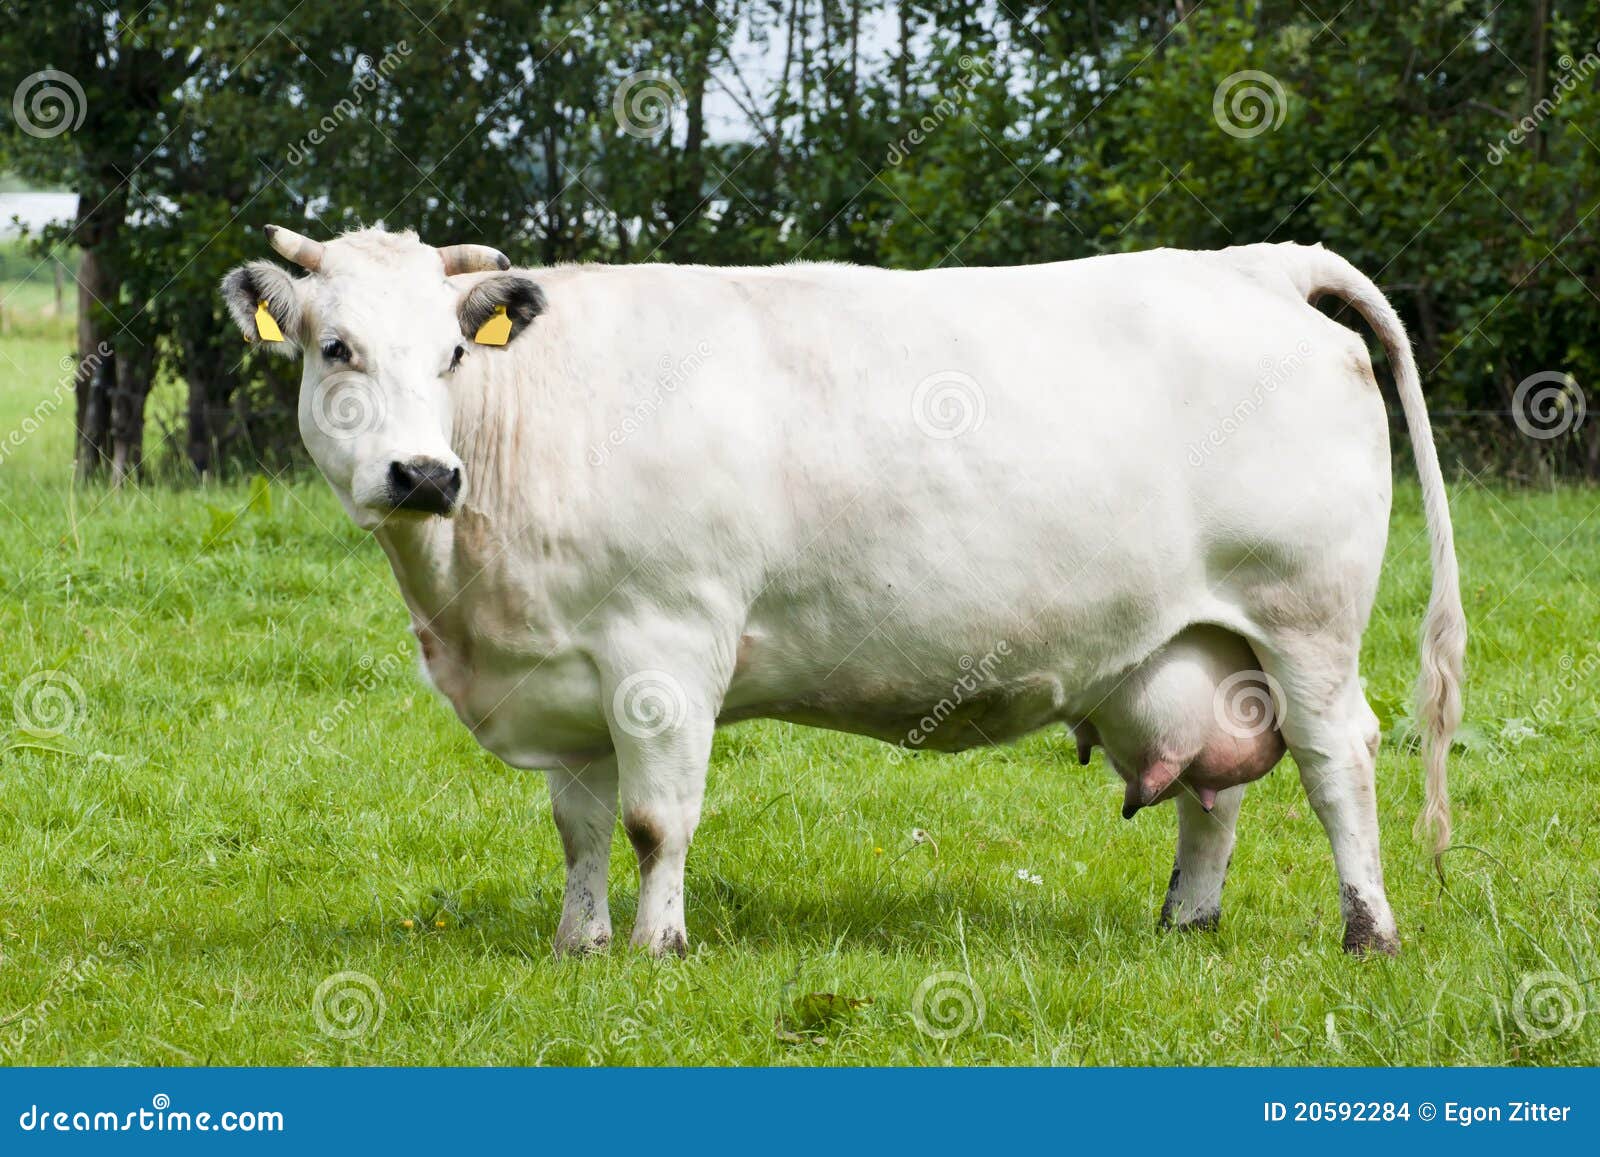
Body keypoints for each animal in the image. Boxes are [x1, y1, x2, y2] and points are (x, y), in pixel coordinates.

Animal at [221, 226, 1464, 958]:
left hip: (1306, 620)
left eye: (453, 355)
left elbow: (653, 818)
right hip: (1204, 638)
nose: (424, 475)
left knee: (1336, 757)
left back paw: (1369, 929)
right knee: (1220, 782)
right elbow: (578, 825)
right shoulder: (564, 672)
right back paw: (1185, 920)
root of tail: (1259, 260)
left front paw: (657, 947)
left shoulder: (666, 648)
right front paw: (581, 943)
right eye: (335, 348)